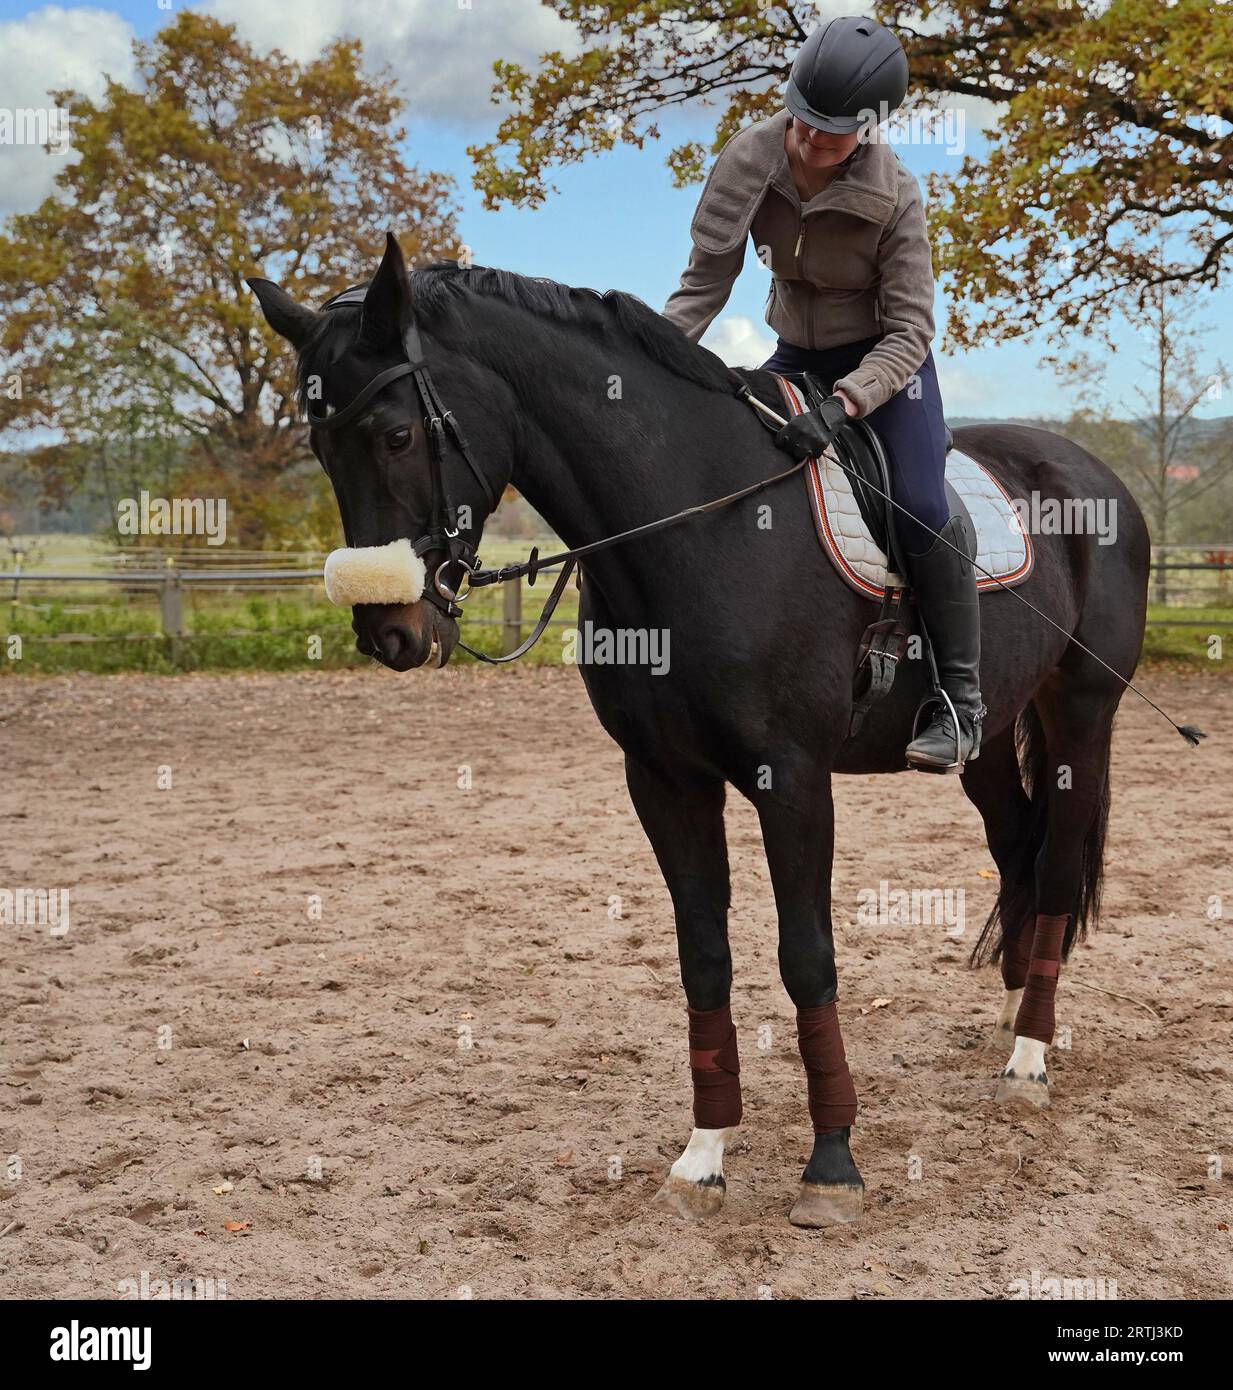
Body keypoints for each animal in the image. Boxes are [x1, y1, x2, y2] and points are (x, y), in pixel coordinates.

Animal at [248, 232, 1150, 1228]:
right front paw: (705, 1152)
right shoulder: (663, 779)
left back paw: (1029, 1057)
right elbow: (703, 959)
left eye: (398, 434)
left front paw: (830, 1163)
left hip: (1081, 716)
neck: (696, 524)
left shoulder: (790, 779)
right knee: (1014, 844)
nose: (391, 634)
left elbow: (806, 959)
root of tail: (1085, 471)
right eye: (321, 446)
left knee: (1056, 861)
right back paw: (1014, 1013)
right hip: (986, 739)